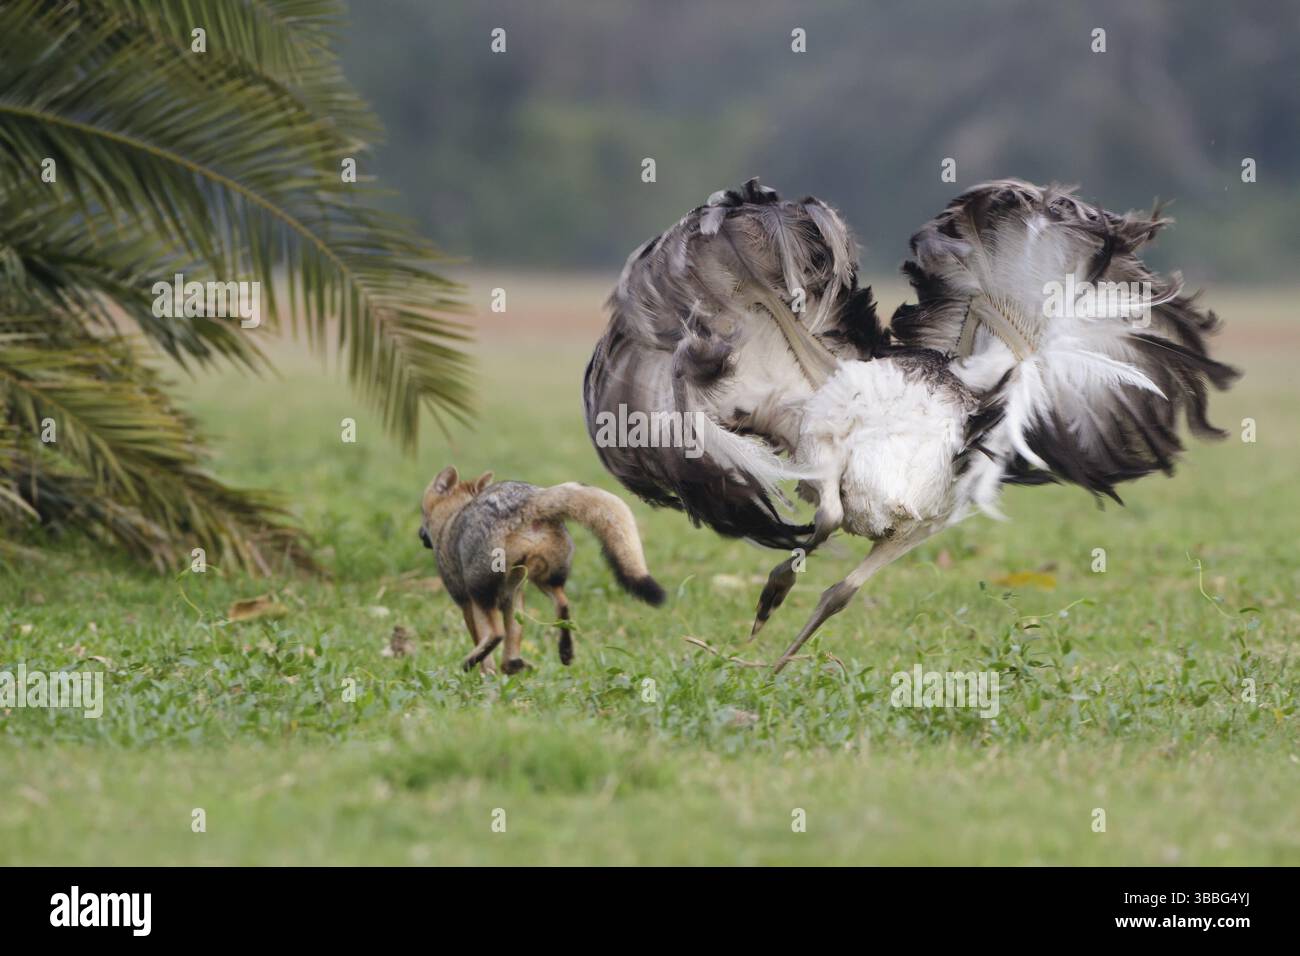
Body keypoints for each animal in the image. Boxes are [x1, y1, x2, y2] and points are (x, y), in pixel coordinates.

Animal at [419, 466, 666, 674]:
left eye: (422, 513)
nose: (421, 535)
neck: (451, 519)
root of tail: (530, 501)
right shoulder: (510, 595)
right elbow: (511, 641)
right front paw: (508, 666)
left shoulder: (466, 601)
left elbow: (484, 644)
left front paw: (485, 673)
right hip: (542, 581)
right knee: (563, 606)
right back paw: (558, 653)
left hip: (482, 591)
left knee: (497, 633)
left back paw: (470, 662)